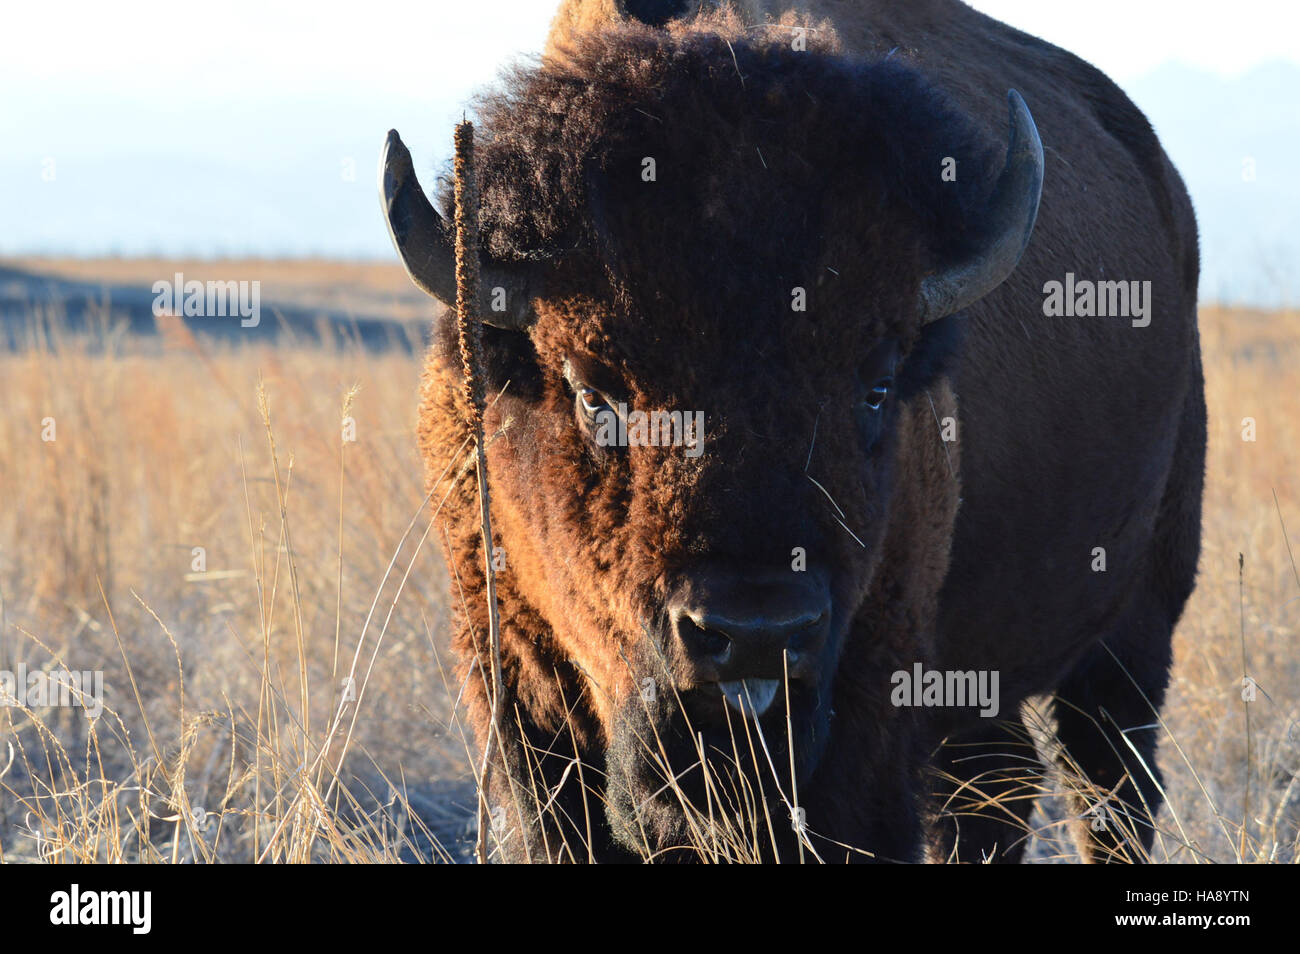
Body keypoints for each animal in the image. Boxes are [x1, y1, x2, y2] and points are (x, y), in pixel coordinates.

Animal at [381, 1, 1204, 862]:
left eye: (875, 387)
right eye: (590, 389)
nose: (753, 632)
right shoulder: (517, 685)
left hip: (1136, 631)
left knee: (1107, 784)